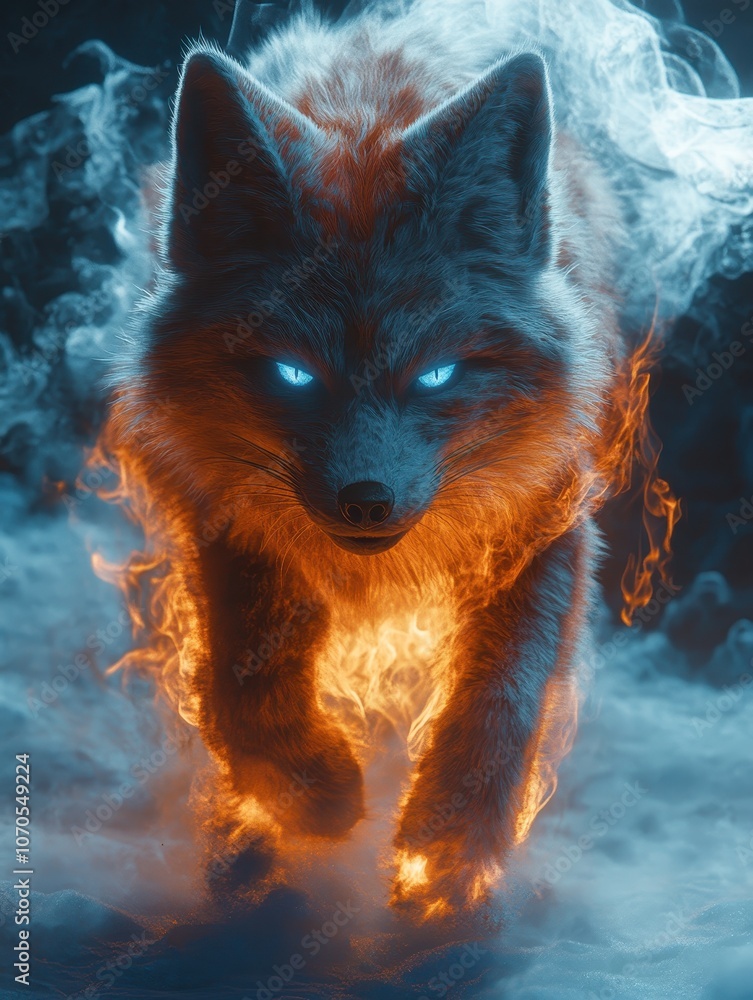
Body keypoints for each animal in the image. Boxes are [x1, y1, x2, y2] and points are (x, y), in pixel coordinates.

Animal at [101, 0, 641, 911]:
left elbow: (505, 690)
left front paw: (451, 838)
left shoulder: (547, 514)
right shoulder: (222, 509)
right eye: (292, 374)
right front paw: (307, 791)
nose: (365, 500)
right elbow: (243, 677)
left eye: (435, 375)